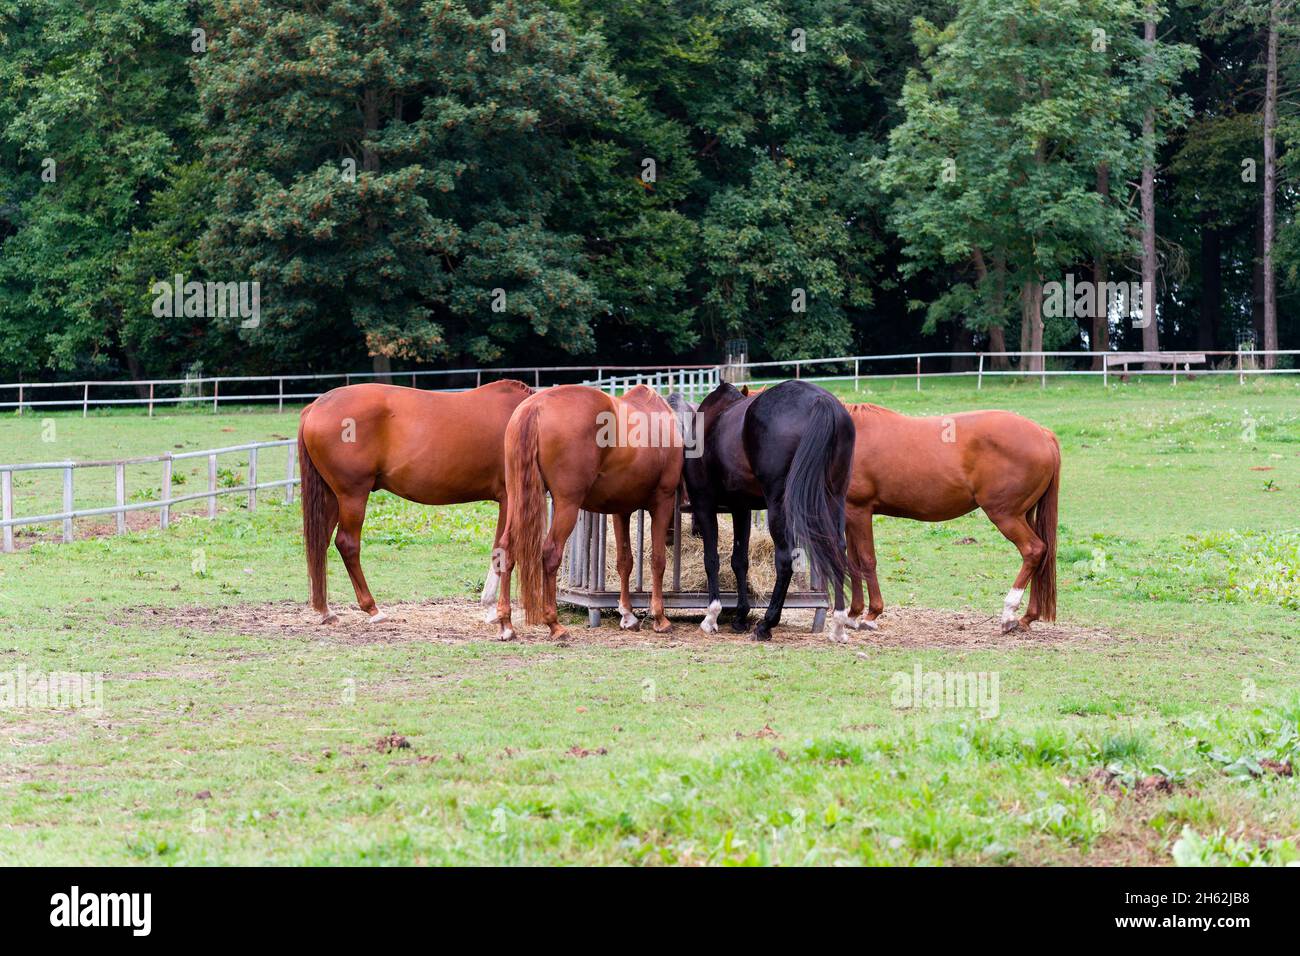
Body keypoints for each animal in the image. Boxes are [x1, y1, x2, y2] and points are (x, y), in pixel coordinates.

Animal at [297, 379, 532, 624]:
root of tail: (316, 406)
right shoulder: (508, 499)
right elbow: (501, 550)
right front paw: (492, 610)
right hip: (352, 496)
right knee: (347, 544)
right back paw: (372, 609)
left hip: (333, 498)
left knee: (320, 544)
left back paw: (325, 610)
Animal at [496, 384, 683, 641]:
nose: (672, 537)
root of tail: (534, 407)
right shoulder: (663, 502)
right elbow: (658, 560)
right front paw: (660, 617)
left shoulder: (621, 510)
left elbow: (625, 561)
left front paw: (627, 615)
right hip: (567, 505)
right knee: (550, 553)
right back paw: (554, 624)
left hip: (517, 498)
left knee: (507, 548)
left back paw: (506, 623)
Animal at [669, 380, 858, 643]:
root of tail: (821, 401)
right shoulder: (741, 508)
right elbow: (739, 560)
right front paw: (740, 616)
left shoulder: (705, 504)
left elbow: (712, 559)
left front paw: (712, 616)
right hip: (834, 496)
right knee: (837, 549)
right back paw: (838, 624)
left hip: (780, 506)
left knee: (785, 559)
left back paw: (767, 624)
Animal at [842, 403, 1060, 634]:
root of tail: (1042, 434)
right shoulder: (849, 513)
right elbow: (853, 561)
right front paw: (852, 614)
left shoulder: (860, 510)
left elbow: (867, 560)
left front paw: (871, 615)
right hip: (1023, 515)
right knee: (1042, 554)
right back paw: (1028, 617)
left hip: (1006, 516)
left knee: (1033, 550)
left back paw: (1009, 613)